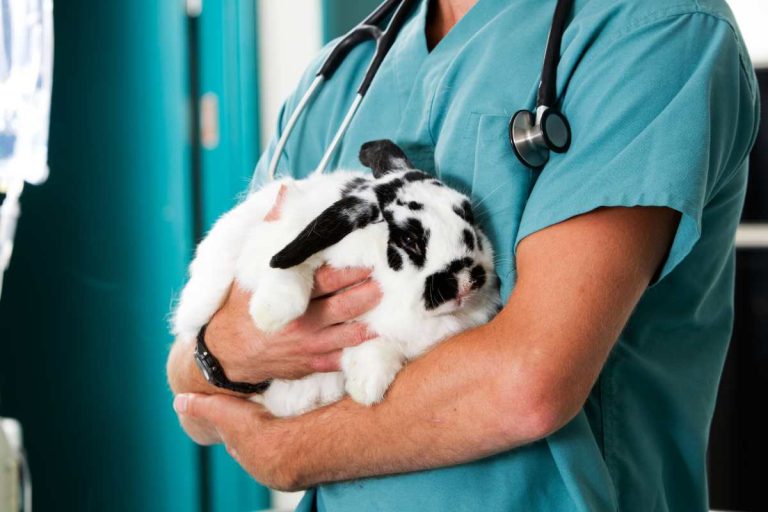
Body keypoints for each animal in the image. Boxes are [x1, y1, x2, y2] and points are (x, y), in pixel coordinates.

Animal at [172, 140, 501, 417]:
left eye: (468, 215)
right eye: (409, 239)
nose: (465, 281)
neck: (394, 290)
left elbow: (377, 345)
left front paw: (367, 386)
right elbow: (290, 267)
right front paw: (271, 316)